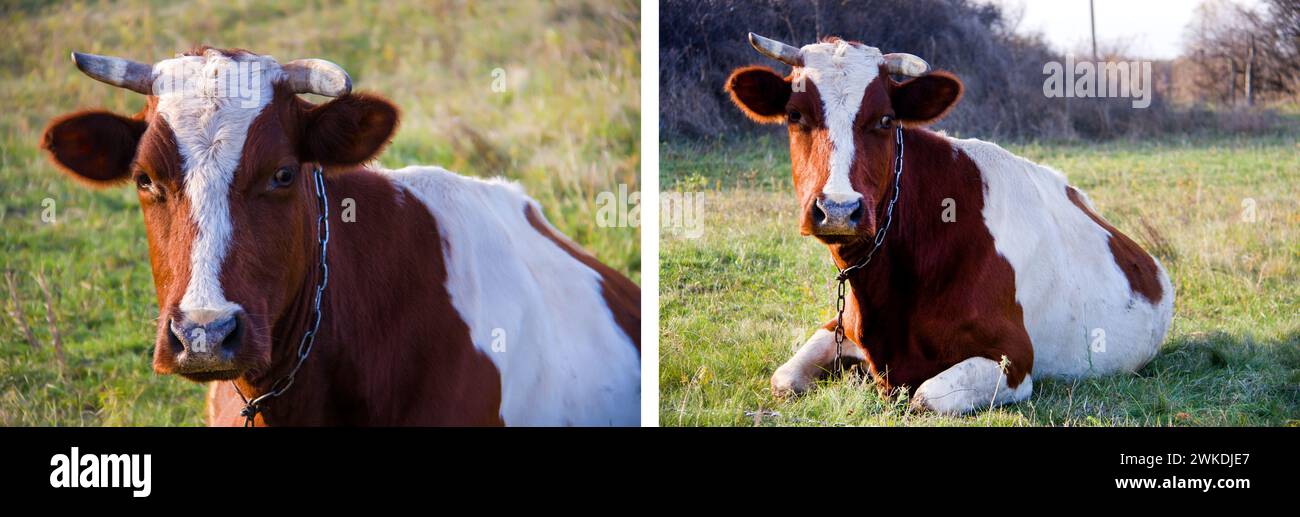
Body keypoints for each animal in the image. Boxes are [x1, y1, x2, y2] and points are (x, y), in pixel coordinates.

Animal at [725, 34, 1174, 415]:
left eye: (886, 119)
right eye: (794, 115)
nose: (838, 209)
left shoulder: (1014, 357)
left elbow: (925, 397)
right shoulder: (839, 326)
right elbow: (784, 379)